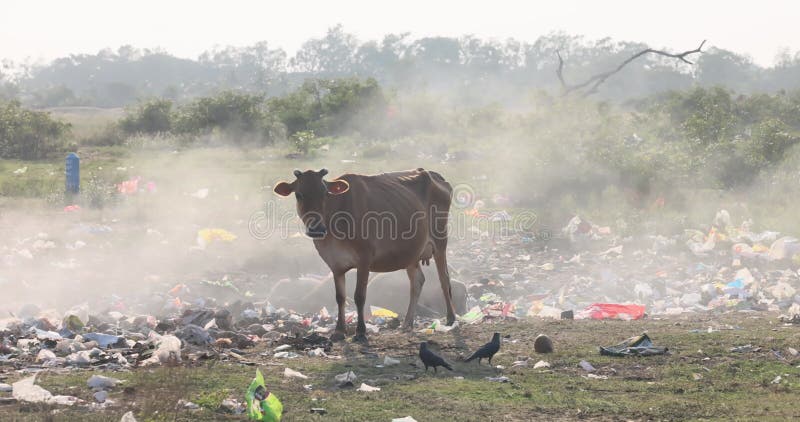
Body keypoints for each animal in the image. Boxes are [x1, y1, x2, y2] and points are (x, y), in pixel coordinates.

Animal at [273, 168, 457, 342]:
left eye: (325, 193)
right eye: (298, 194)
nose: (316, 229)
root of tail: (435, 175)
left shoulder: (364, 259)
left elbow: (359, 296)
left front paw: (360, 332)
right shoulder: (335, 264)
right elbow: (340, 297)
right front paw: (339, 331)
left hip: (440, 241)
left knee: (444, 280)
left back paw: (451, 318)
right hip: (411, 252)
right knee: (417, 282)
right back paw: (407, 323)